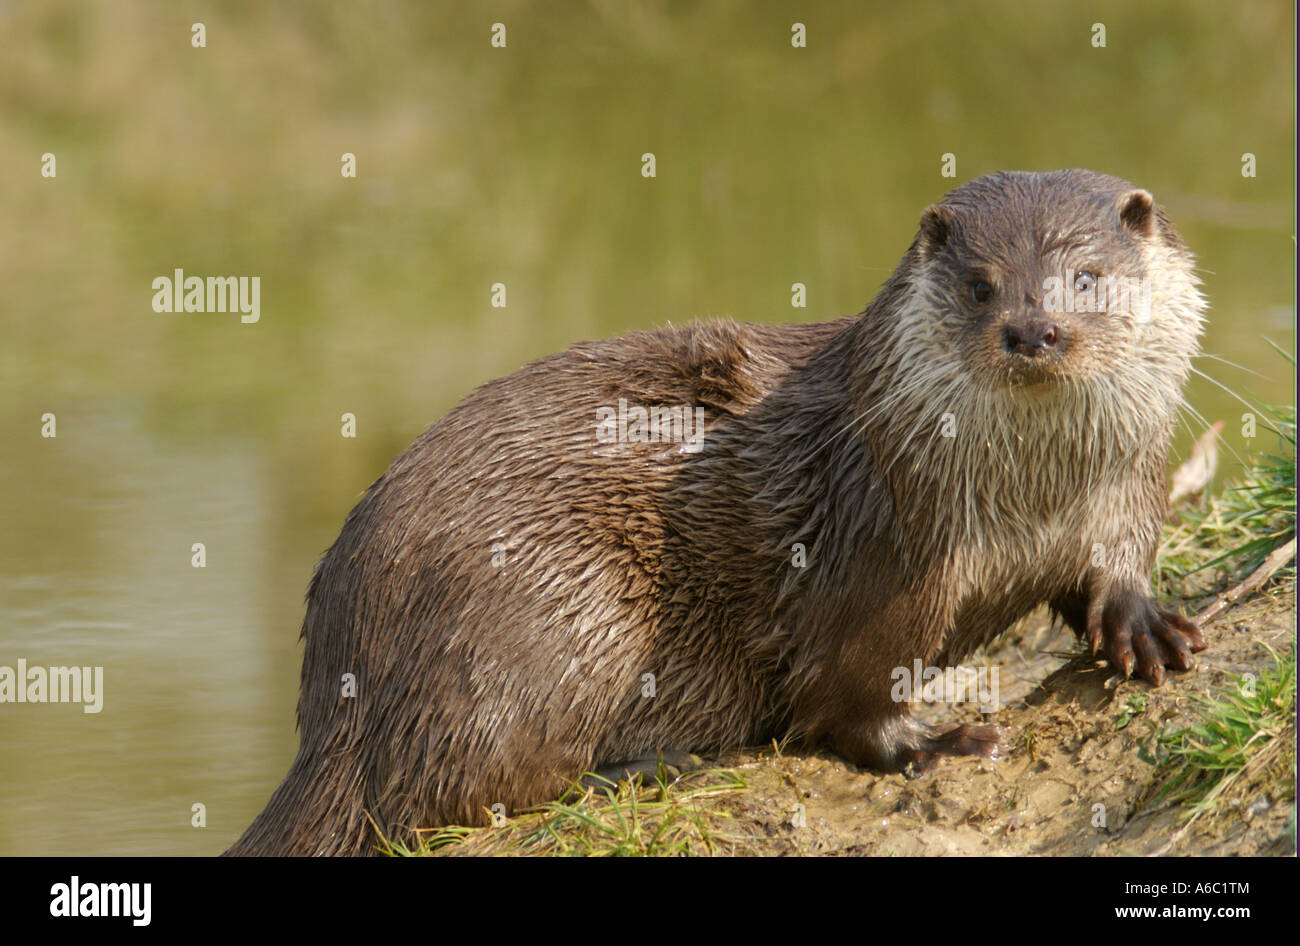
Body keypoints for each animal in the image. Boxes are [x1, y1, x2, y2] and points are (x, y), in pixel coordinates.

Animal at [227, 169, 1207, 856]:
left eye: (1088, 276)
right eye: (979, 285)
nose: (1034, 330)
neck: (1026, 507)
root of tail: (338, 693)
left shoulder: (1123, 489)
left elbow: (1114, 565)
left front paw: (1147, 625)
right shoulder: (880, 553)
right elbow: (847, 692)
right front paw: (939, 741)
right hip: (556, 610)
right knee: (454, 789)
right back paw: (645, 768)